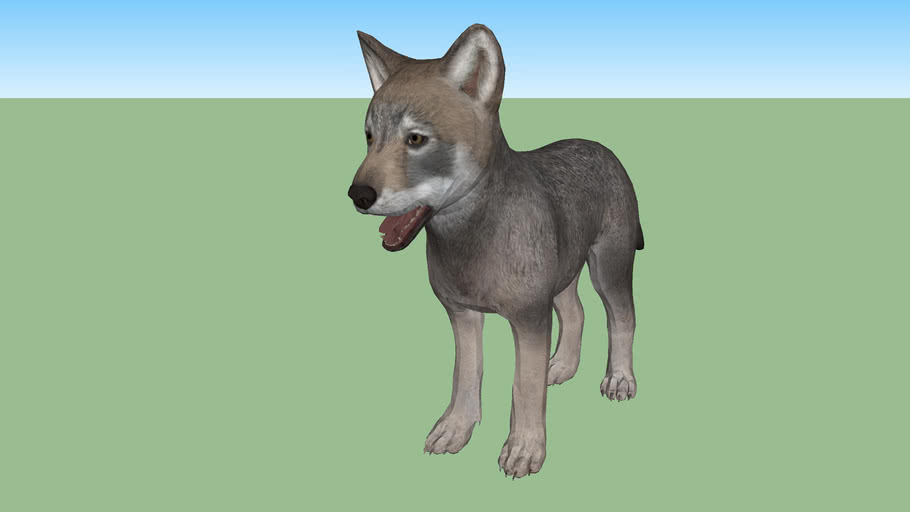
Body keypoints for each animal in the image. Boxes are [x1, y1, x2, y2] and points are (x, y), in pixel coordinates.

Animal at [347, 24, 644, 478]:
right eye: (370, 138)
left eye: (415, 139)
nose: (357, 195)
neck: (471, 240)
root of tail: (599, 146)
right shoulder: (462, 314)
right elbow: (466, 376)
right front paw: (456, 429)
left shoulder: (529, 318)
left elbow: (524, 387)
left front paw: (524, 449)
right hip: (562, 276)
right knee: (576, 314)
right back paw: (561, 366)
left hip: (607, 269)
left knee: (623, 318)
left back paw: (620, 379)